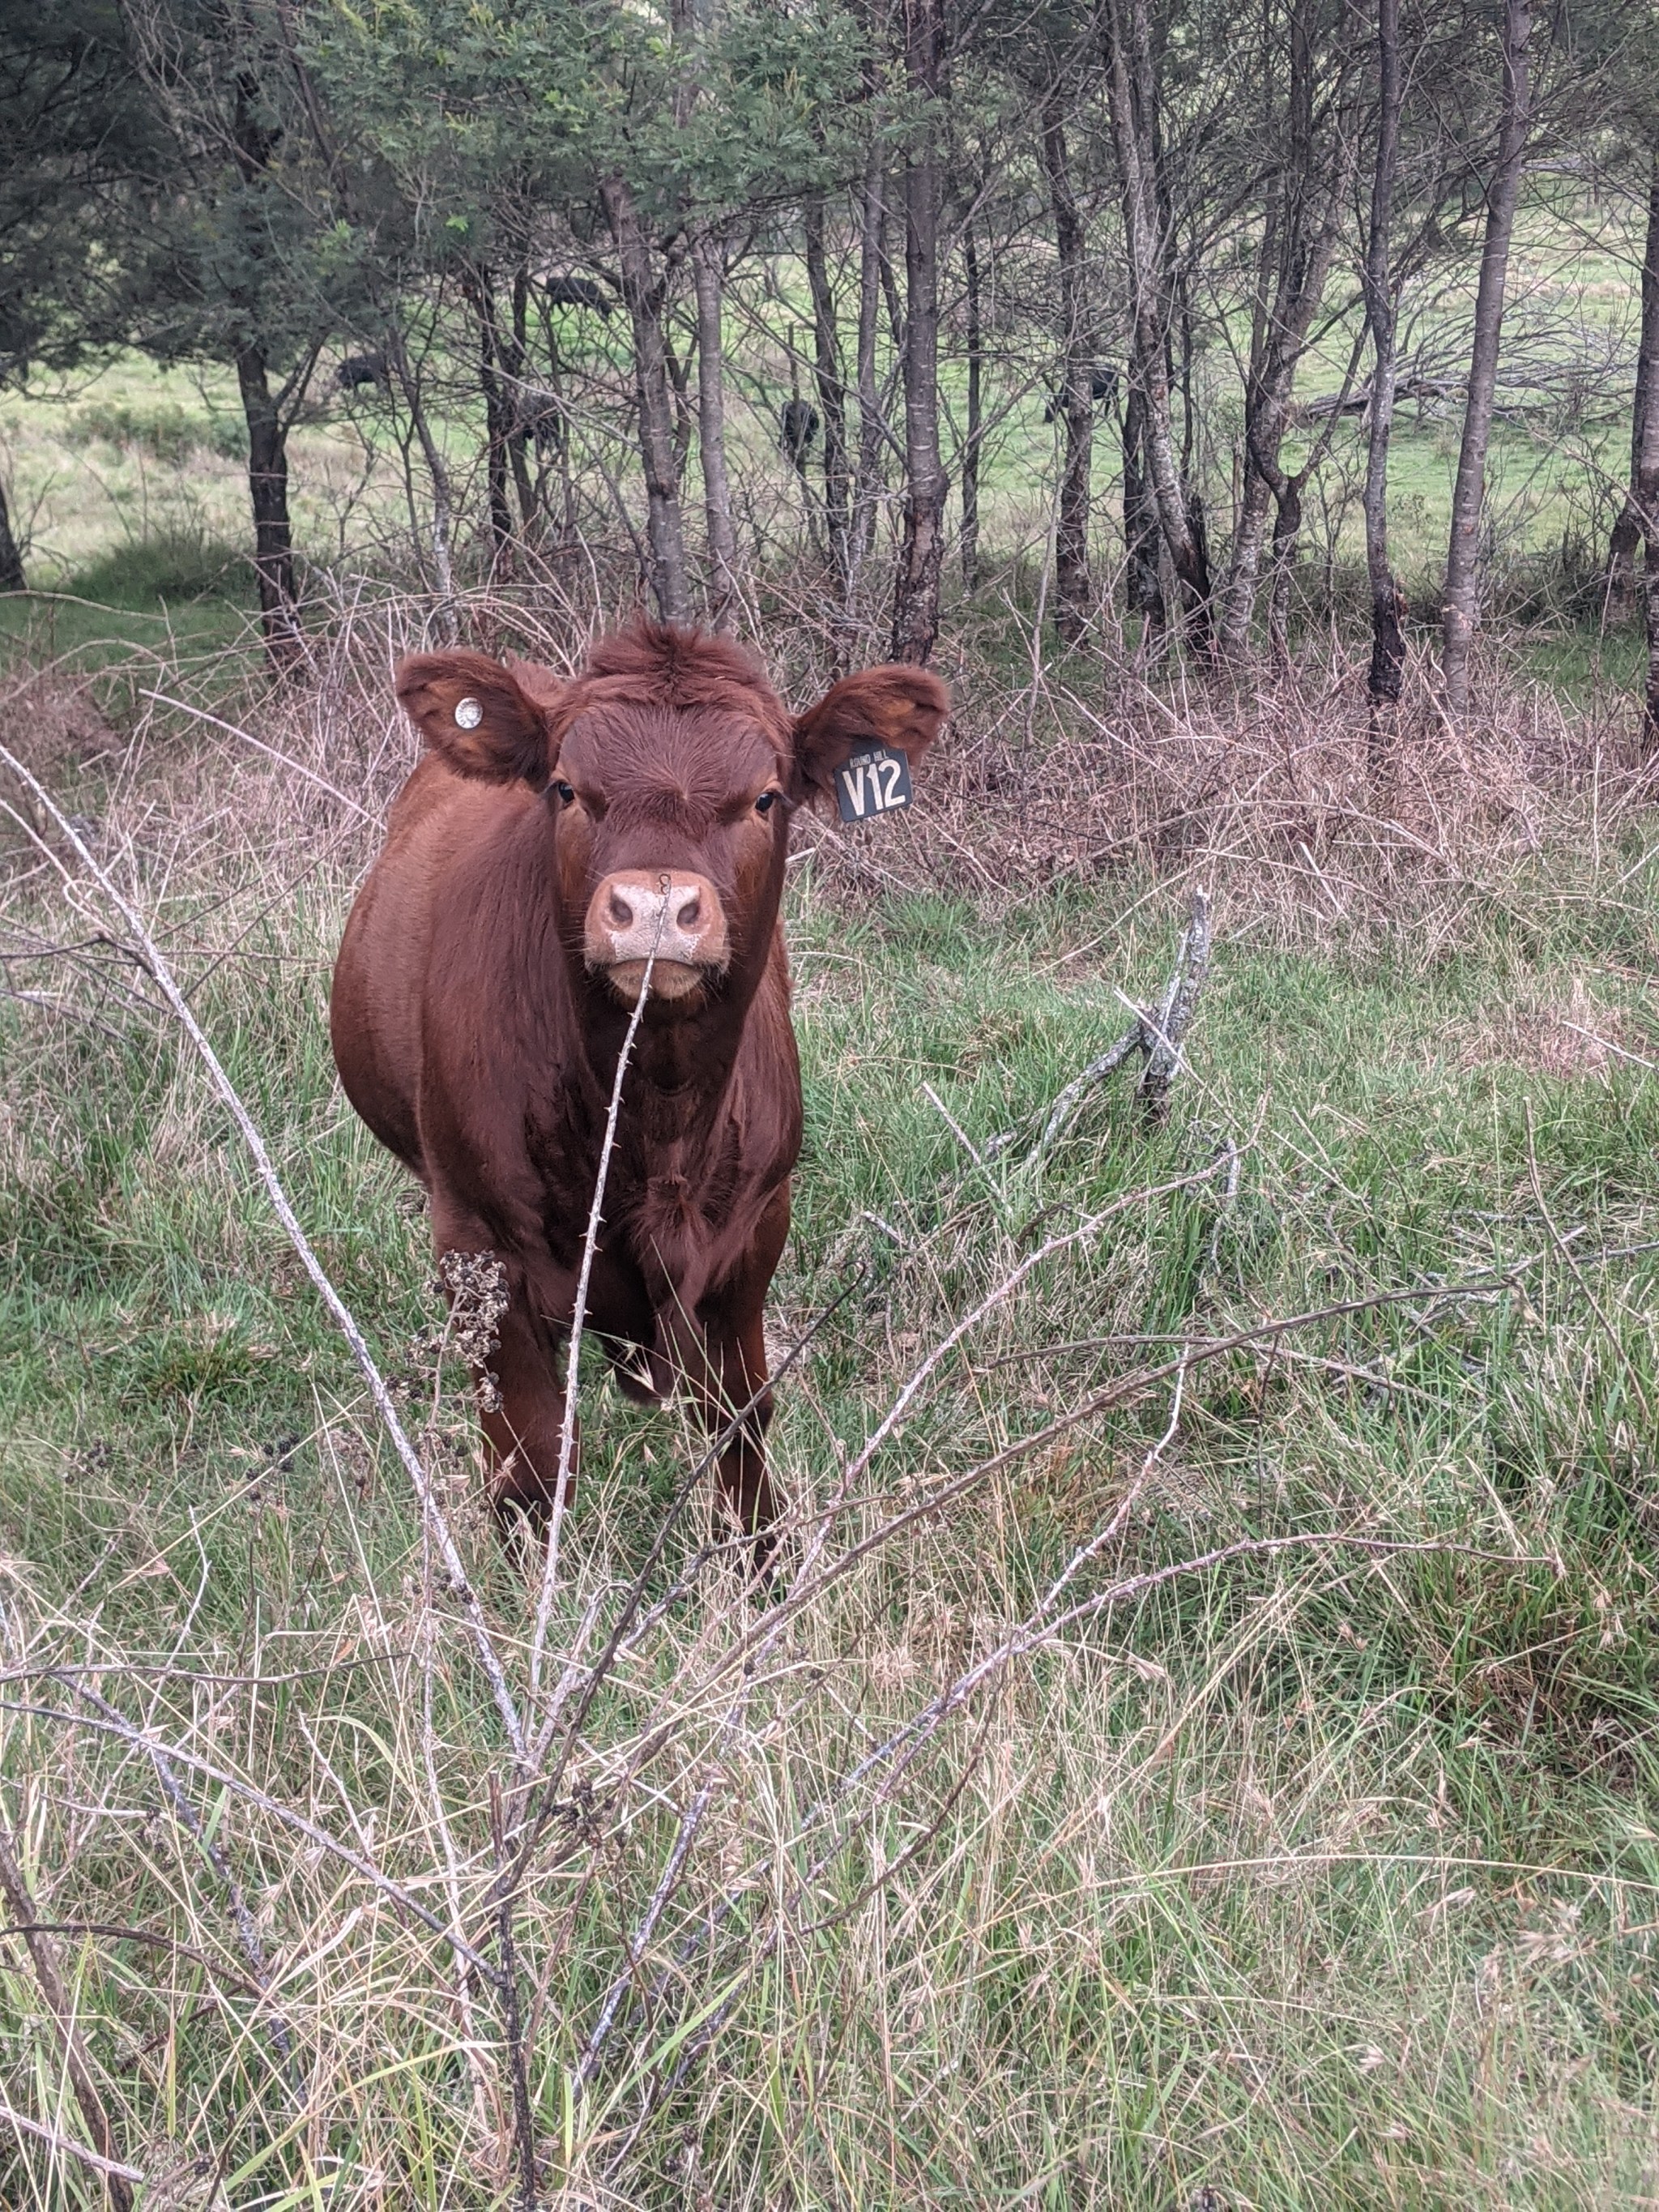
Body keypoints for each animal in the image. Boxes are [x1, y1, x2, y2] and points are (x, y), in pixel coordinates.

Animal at [330, 623, 946, 1570]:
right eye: (566, 788)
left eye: (766, 797)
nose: (654, 907)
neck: (654, 1121)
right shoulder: (478, 1249)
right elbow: (530, 1463)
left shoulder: (755, 1228)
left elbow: (739, 1418)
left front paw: (762, 1574)